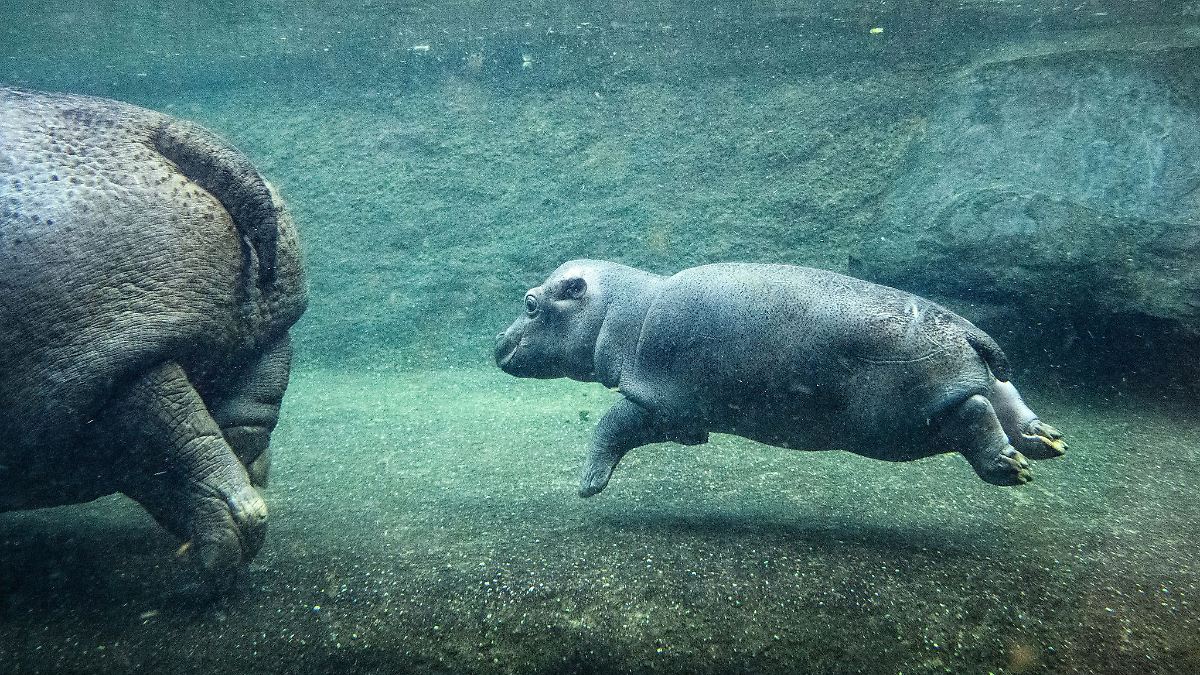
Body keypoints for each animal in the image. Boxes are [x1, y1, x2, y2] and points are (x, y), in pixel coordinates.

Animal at [0, 88, 306, 587]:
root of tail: (167, 132)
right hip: (266, 339)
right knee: (231, 433)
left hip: (96, 362)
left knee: (173, 431)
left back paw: (203, 567)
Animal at [495, 260, 1065, 498]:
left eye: (530, 303)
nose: (496, 342)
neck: (622, 307)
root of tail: (971, 331)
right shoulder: (681, 415)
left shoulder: (659, 401)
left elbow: (610, 426)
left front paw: (588, 486)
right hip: (980, 377)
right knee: (1008, 398)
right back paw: (1046, 442)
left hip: (907, 419)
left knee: (973, 412)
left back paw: (1007, 468)